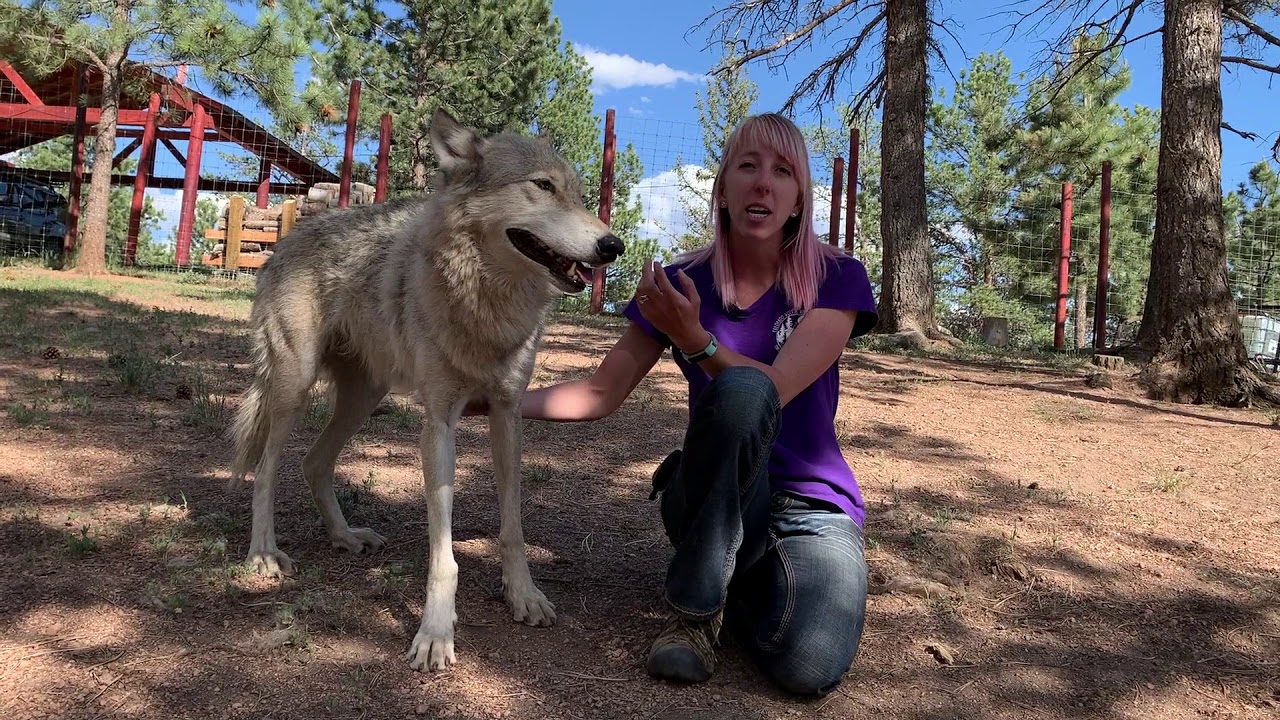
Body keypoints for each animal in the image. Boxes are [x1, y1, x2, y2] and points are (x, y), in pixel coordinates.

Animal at [226, 107, 625, 672]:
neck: (484, 301)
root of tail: (289, 235)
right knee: (265, 471)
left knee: (313, 462)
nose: (613, 246)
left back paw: (344, 536)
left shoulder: (507, 414)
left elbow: (513, 529)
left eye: (579, 195)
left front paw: (523, 596)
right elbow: (445, 555)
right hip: (293, 388)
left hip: (364, 397)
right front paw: (436, 633)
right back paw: (262, 553)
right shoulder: (438, 423)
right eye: (542, 186)